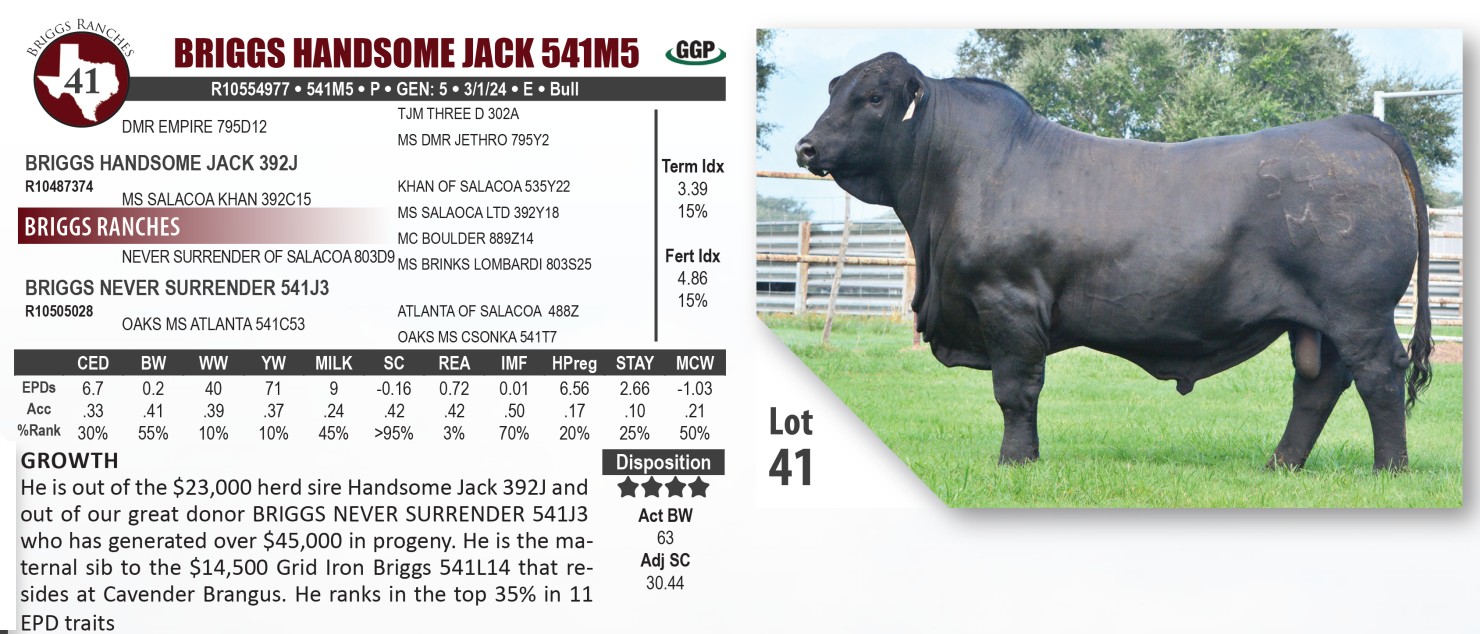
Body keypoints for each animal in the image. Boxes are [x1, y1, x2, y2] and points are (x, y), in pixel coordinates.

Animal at [795, 53, 1433, 471]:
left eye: (874, 97)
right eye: (831, 93)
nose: (806, 146)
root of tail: (1352, 125)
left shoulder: (1008, 301)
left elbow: (1016, 390)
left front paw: (1015, 463)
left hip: (1358, 310)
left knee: (1378, 375)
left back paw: (1389, 469)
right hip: (1319, 320)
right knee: (1319, 385)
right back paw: (1282, 464)